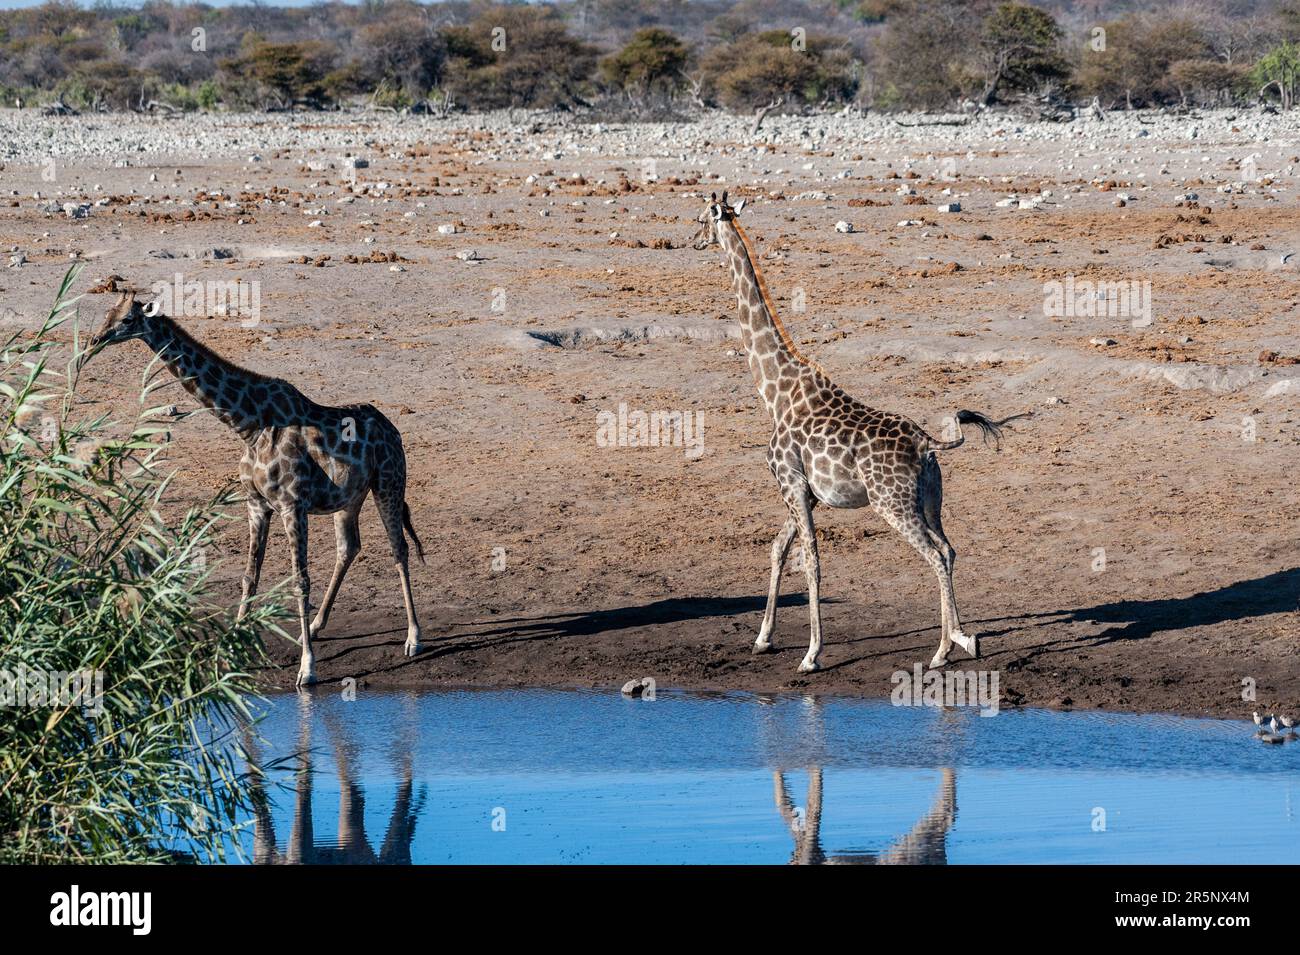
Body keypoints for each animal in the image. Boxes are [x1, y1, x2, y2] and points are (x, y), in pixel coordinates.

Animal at [87, 291, 425, 686]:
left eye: (127, 320)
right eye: (107, 313)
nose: (96, 339)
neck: (248, 426)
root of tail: (393, 429)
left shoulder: (292, 505)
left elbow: (299, 580)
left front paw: (307, 667)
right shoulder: (256, 504)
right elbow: (250, 576)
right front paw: (232, 646)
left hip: (388, 483)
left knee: (399, 549)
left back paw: (412, 638)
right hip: (349, 498)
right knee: (349, 547)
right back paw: (316, 625)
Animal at [692, 192, 1026, 672]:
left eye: (701, 218)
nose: (693, 240)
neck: (774, 390)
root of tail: (926, 444)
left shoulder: (790, 482)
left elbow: (811, 560)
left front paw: (812, 653)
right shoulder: (805, 490)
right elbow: (778, 548)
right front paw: (762, 638)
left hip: (891, 504)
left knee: (933, 555)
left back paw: (940, 651)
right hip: (931, 499)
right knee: (948, 549)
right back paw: (962, 638)